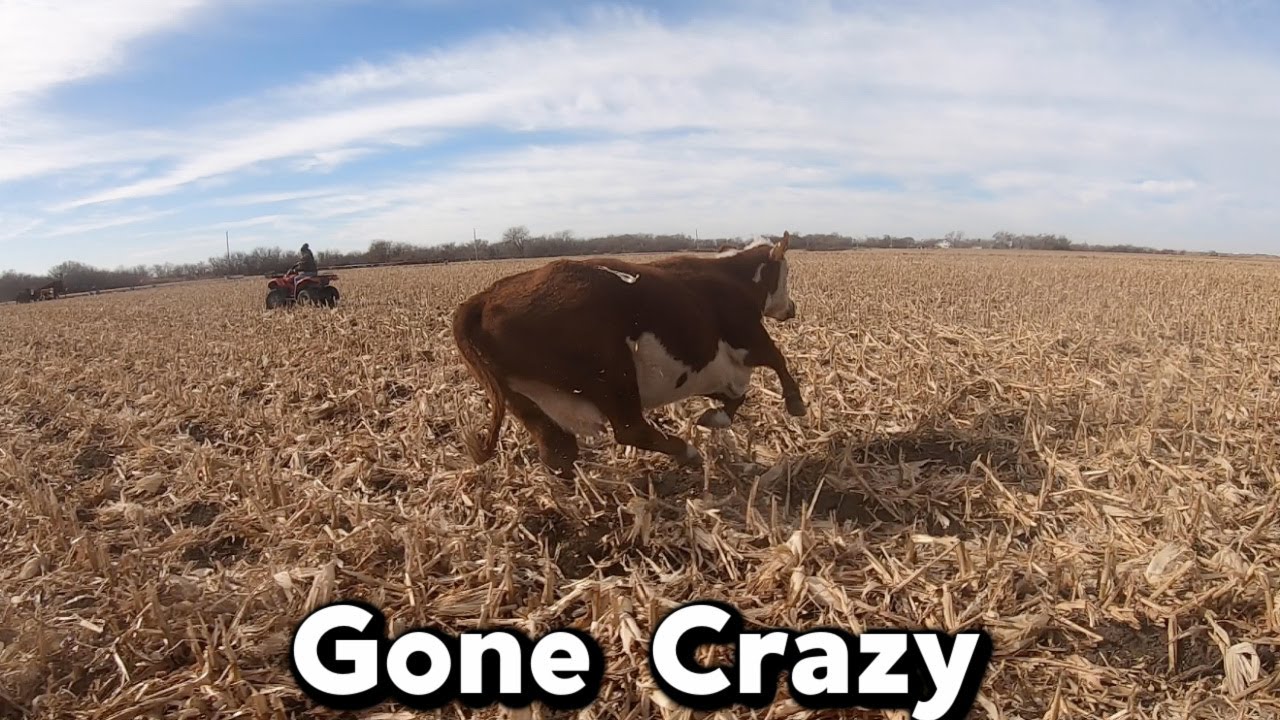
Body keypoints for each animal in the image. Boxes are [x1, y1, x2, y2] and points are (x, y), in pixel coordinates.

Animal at [451, 231, 806, 479]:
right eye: (786, 272)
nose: (791, 308)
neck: (733, 277)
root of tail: (485, 298)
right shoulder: (748, 341)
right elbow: (778, 362)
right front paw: (795, 404)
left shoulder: (707, 369)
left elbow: (734, 398)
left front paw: (713, 417)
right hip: (613, 376)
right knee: (630, 429)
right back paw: (686, 452)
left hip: (527, 400)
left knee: (559, 452)